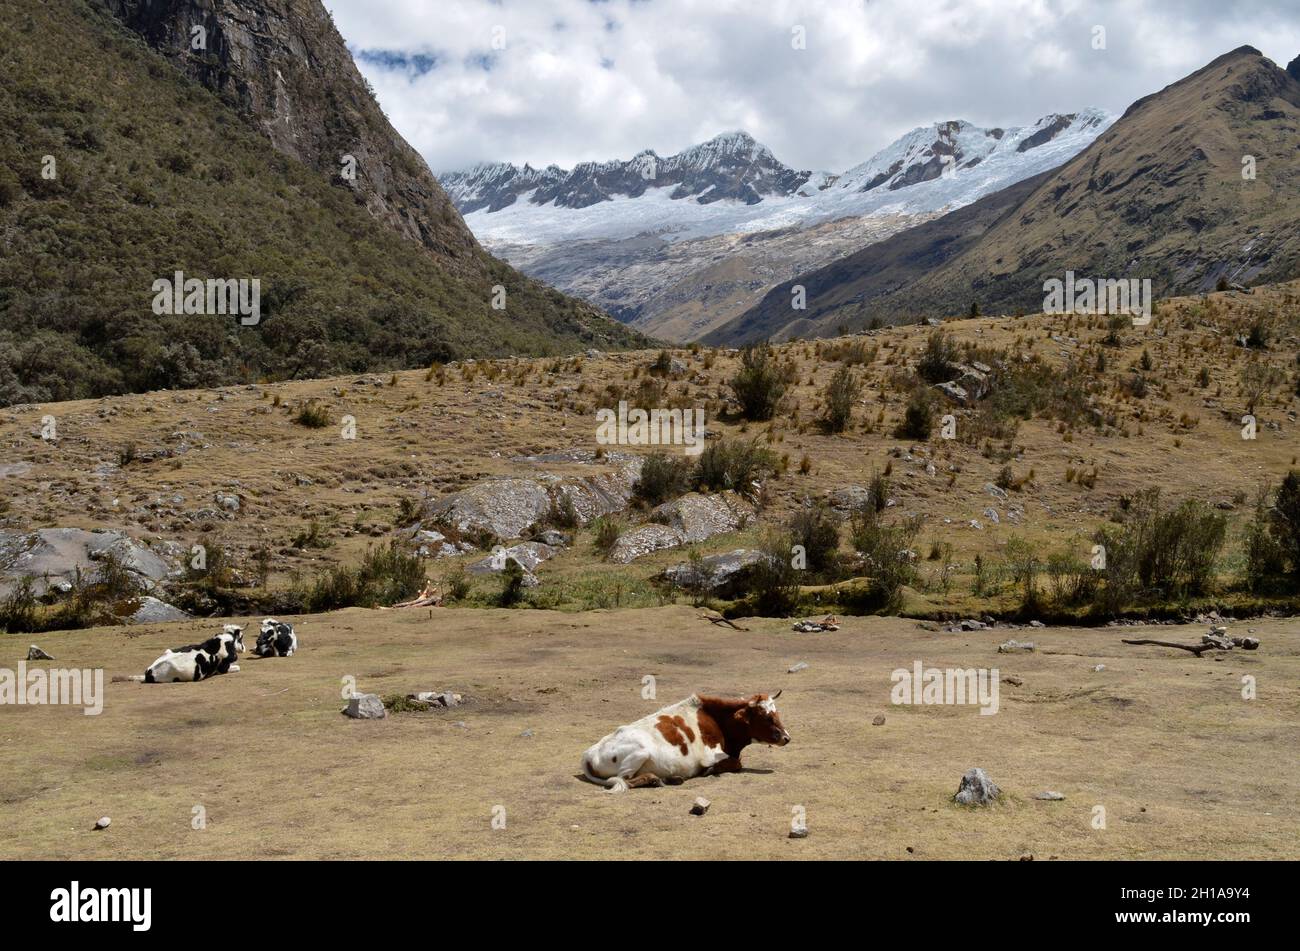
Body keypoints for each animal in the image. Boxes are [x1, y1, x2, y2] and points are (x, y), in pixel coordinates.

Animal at [581, 691, 790, 793]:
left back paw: (669, 778)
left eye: (777, 713)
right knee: (624, 780)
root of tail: (589, 753)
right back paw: (655, 779)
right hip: (640, 753)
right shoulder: (710, 754)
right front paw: (710, 770)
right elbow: (736, 763)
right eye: (767, 717)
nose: (787, 738)